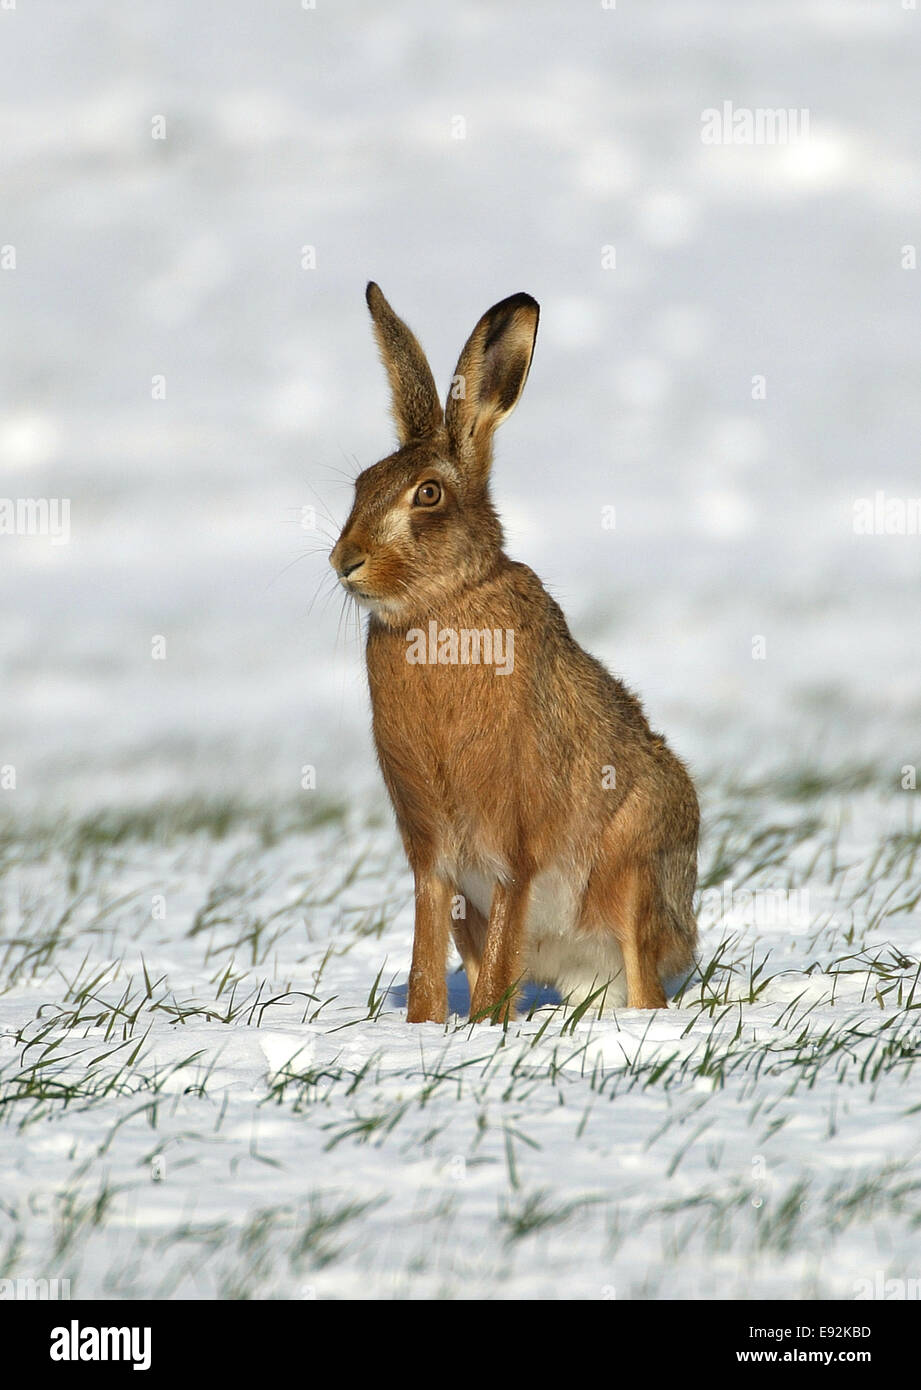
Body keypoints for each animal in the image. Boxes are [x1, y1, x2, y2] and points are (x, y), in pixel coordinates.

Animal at [330, 283, 699, 1024]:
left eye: (428, 494)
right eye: (360, 485)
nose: (345, 561)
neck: (441, 607)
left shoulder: (514, 846)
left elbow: (505, 929)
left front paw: (477, 1031)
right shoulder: (433, 863)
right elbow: (425, 952)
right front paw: (424, 1028)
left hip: (634, 883)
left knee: (642, 978)